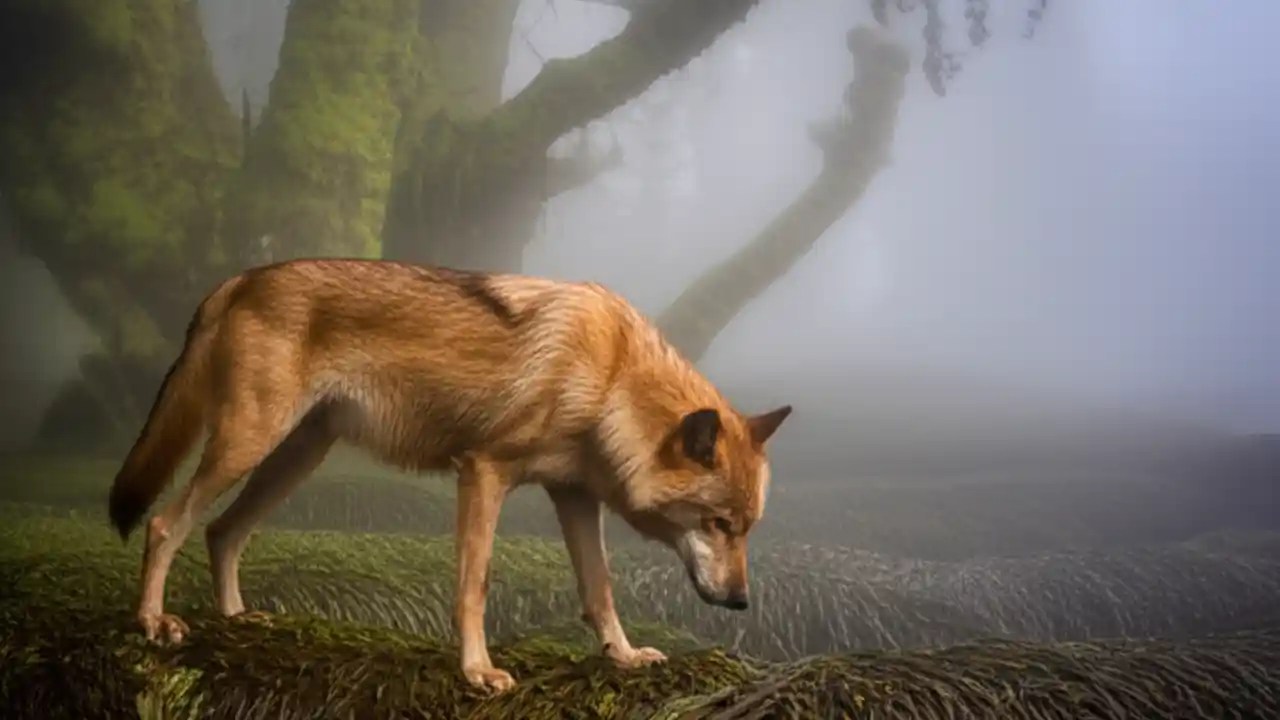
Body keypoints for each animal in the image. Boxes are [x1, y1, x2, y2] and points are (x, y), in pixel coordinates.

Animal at [106, 258, 791, 692]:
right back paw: (153, 623)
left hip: (293, 458)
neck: (611, 378)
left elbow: (600, 590)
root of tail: (238, 279)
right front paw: (477, 671)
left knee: (222, 531)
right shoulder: (483, 472)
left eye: (747, 529)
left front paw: (622, 657)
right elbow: (474, 585)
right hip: (246, 447)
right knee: (165, 523)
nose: (741, 601)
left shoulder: (573, 497)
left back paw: (236, 618)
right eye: (719, 524)